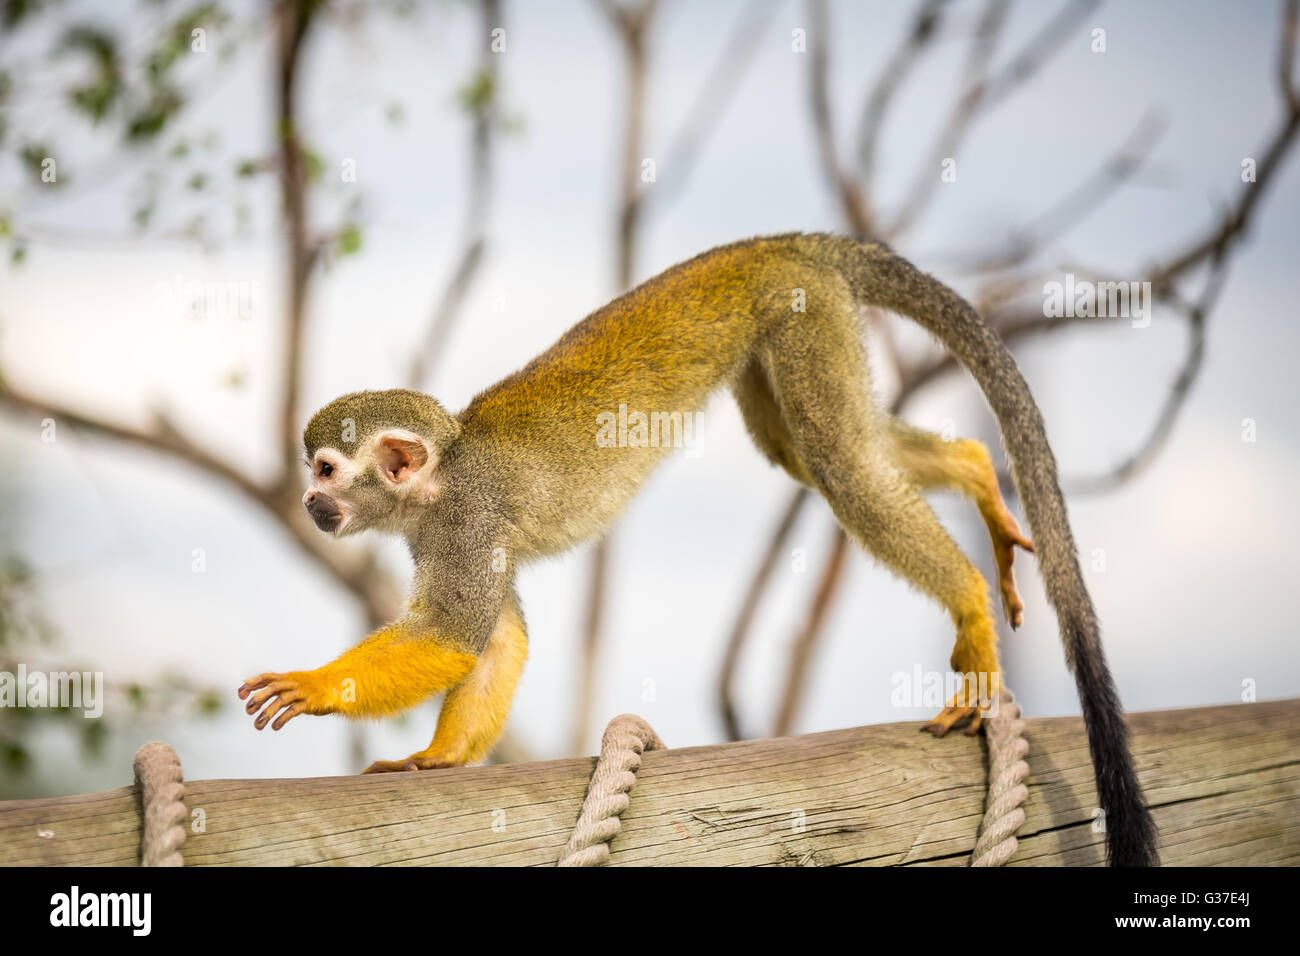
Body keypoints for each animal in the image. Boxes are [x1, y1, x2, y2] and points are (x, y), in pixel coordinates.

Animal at [237, 232, 1158, 867]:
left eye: (326, 470)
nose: (312, 503)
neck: (437, 481)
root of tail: (784, 242)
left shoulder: (464, 518)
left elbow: (456, 634)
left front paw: (313, 685)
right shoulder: (455, 531)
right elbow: (497, 637)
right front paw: (440, 757)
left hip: (801, 312)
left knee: (839, 460)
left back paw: (967, 595)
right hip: (787, 328)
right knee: (812, 452)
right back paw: (972, 469)